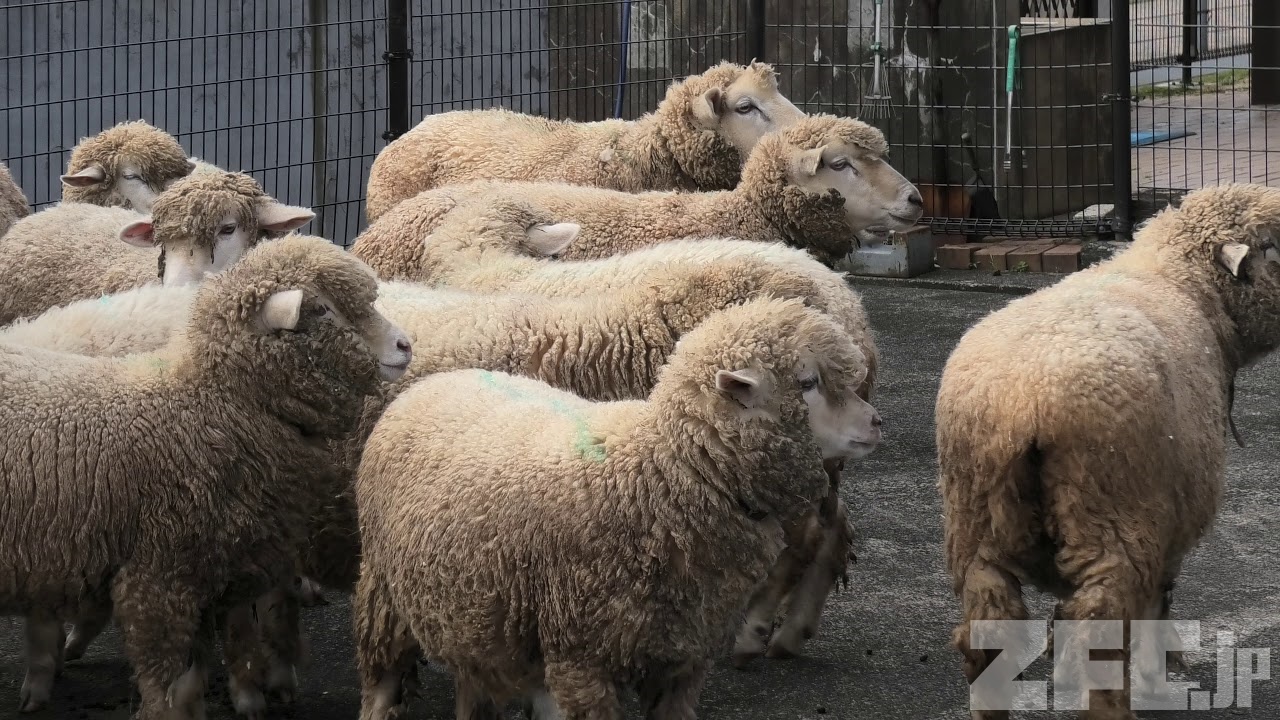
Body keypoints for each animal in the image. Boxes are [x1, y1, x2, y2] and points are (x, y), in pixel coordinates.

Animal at [0, 234, 412, 717]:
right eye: (325, 308)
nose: (405, 345)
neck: (208, 403)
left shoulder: (205, 566)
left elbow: (195, 675)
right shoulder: (159, 578)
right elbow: (164, 682)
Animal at [353, 297, 881, 720]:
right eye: (808, 382)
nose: (877, 422)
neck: (665, 474)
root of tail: (436, 380)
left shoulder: (683, 660)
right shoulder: (582, 657)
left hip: (474, 613)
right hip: (386, 594)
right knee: (382, 683)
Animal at [937, 184, 1280, 719]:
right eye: (1277, 248)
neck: (1181, 282)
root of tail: (1024, 402)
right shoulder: (1167, 525)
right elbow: (1158, 604)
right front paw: (1157, 676)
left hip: (973, 519)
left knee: (987, 633)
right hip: (1114, 514)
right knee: (1098, 630)